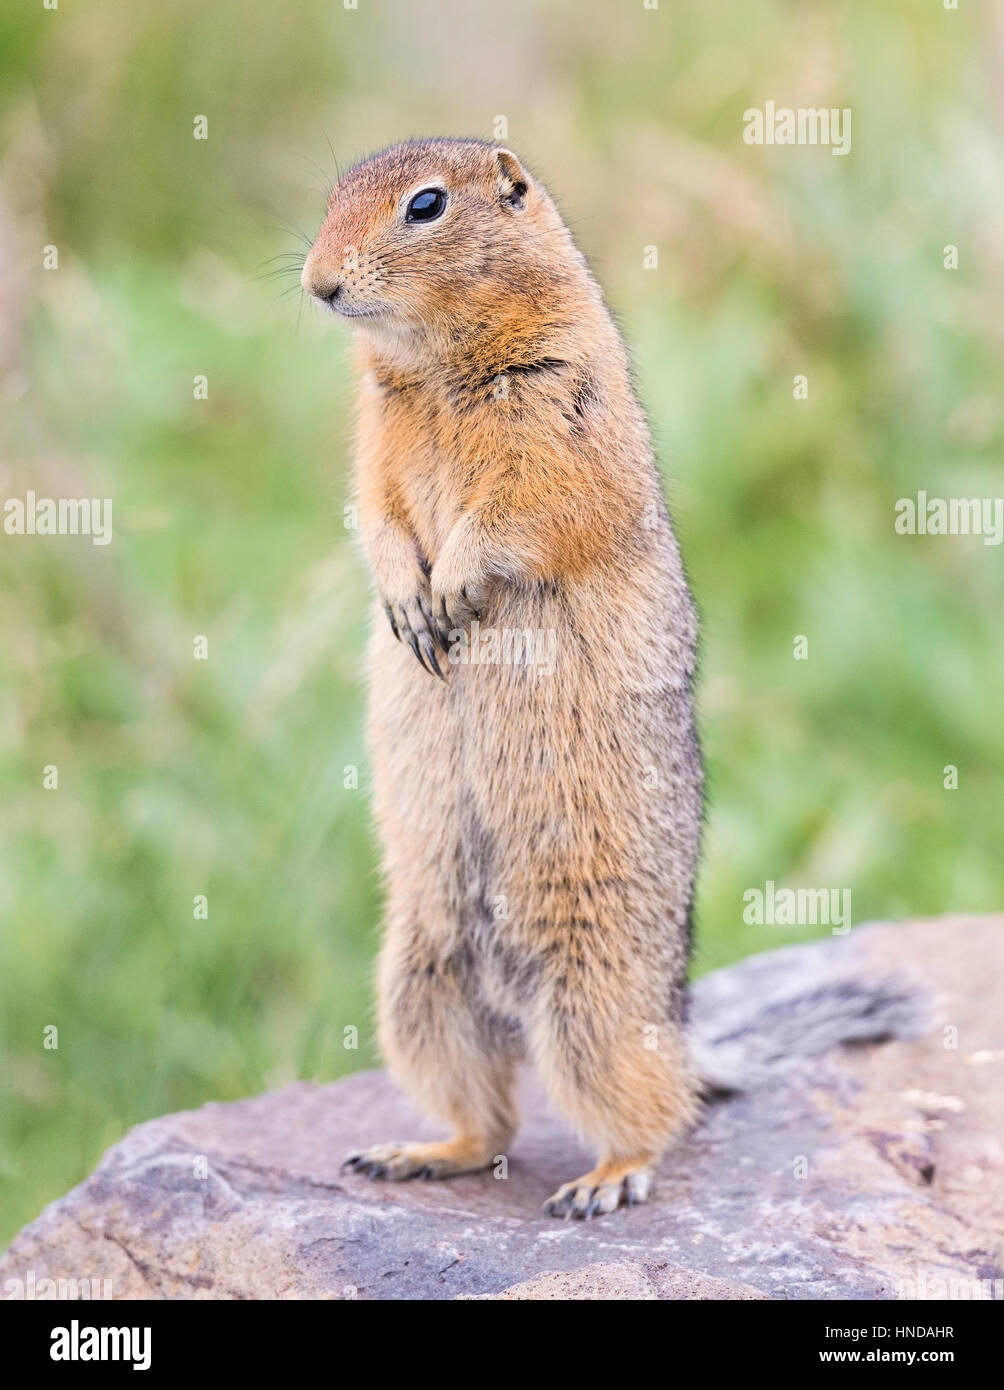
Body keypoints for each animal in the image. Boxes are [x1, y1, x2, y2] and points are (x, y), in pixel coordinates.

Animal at [300, 138, 920, 1219]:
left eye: (425, 206)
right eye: (332, 191)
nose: (318, 283)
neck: (434, 366)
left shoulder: (561, 413)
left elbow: (525, 507)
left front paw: (453, 586)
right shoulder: (374, 437)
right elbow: (373, 510)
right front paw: (408, 601)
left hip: (592, 997)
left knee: (652, 1107)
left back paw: (605, 1178)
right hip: (418, 986)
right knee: (491, 1118)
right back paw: (415, 1150)